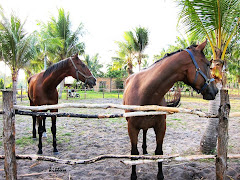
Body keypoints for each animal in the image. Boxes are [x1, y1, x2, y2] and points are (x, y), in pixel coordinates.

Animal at [123, 40, 218, 179]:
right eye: (207, 64)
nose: (215, 90)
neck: (145, 94)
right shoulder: (132, 128)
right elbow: (134, 154)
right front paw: (133, 175)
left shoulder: (161, 127)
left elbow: (159, 152)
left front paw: (160, 175)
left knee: (145, 132)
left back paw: (145, 150)